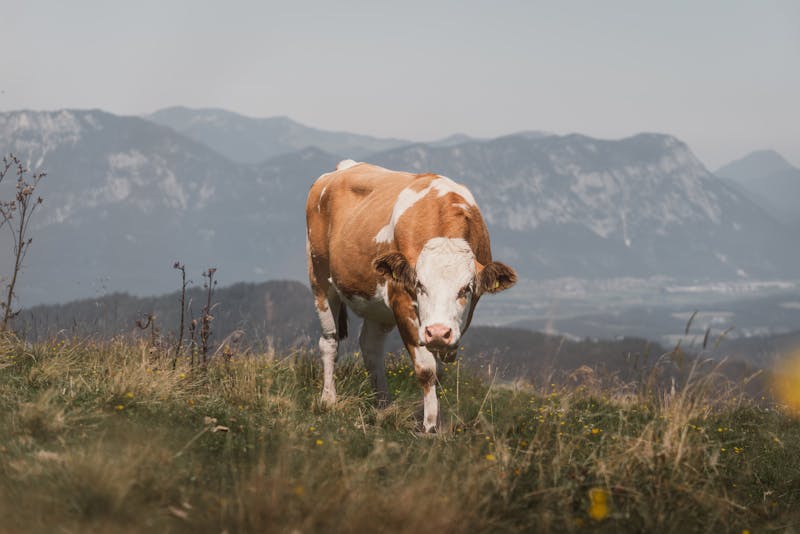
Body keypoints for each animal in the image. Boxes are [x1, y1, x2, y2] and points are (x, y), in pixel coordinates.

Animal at [305, 159, 516, 432]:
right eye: (420, 285)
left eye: (466, 289)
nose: (437, 332)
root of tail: (345, 167)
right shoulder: (402, 301)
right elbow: (427, 369)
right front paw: (429, 427)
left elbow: (440, 369)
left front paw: (437, 422)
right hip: (320, 278)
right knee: (329, 342)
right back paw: (328, 400)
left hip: (377, 308)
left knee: (370, 346)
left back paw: (383, 407)